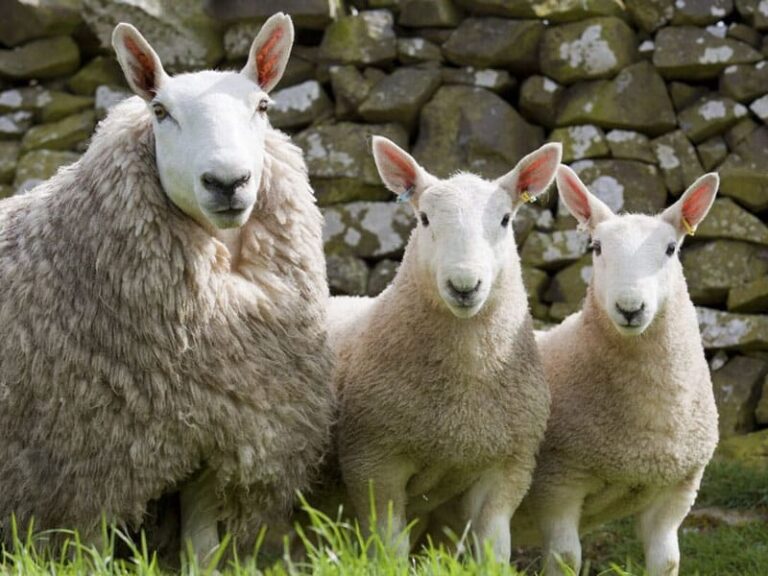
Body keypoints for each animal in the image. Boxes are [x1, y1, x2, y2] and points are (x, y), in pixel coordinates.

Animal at [0, 14, 334, 561]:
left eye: (262, 106)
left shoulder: (213, 439)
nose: (228, 181)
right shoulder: (89, 461)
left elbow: (202, 552)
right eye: (160, 111)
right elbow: (94, 558)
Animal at [328, 137, 562, 561]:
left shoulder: (507, 468)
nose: (464, 285)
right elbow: (390, 547)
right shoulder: (373, 463)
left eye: (505, 219)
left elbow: (493, 550)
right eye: (424, 219)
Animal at [510, 167, 720, 576]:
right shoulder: (557, 482)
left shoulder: (676, 491)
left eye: (671, 249)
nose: (630, 308)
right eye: (597, 247)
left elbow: (668, 561)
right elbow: (565, 558)